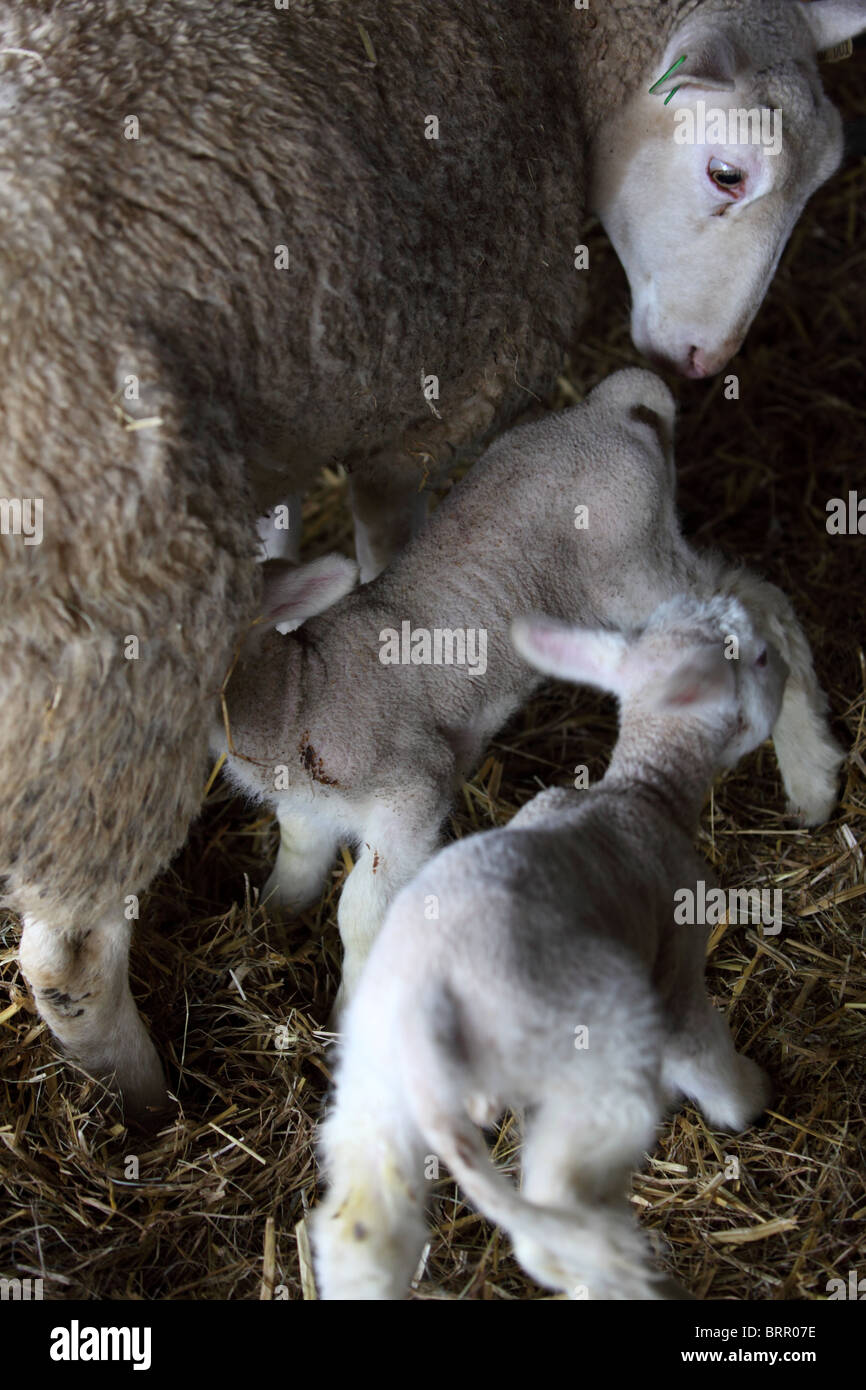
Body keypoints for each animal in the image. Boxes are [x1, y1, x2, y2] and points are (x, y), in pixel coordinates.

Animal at [218, 369, 843, 1008]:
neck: (298, 695)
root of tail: (607, 410)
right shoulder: (307, 805)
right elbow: (297, 847)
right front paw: (275, 910)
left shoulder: (414, 787)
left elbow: (361, 911)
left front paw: (353, 1009)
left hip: (635, 569)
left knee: (761, 606)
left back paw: (812, 778)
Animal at [311, 590, 789, 1300]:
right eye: (757, 657)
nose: (784, 663)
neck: (642, 790)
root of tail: (429, 1005)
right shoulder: (677, 971)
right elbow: (707, 1057)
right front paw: (749, 1099)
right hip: (596, 1051)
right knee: (559, 1199)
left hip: (373, 1083)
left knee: (361, 1224)